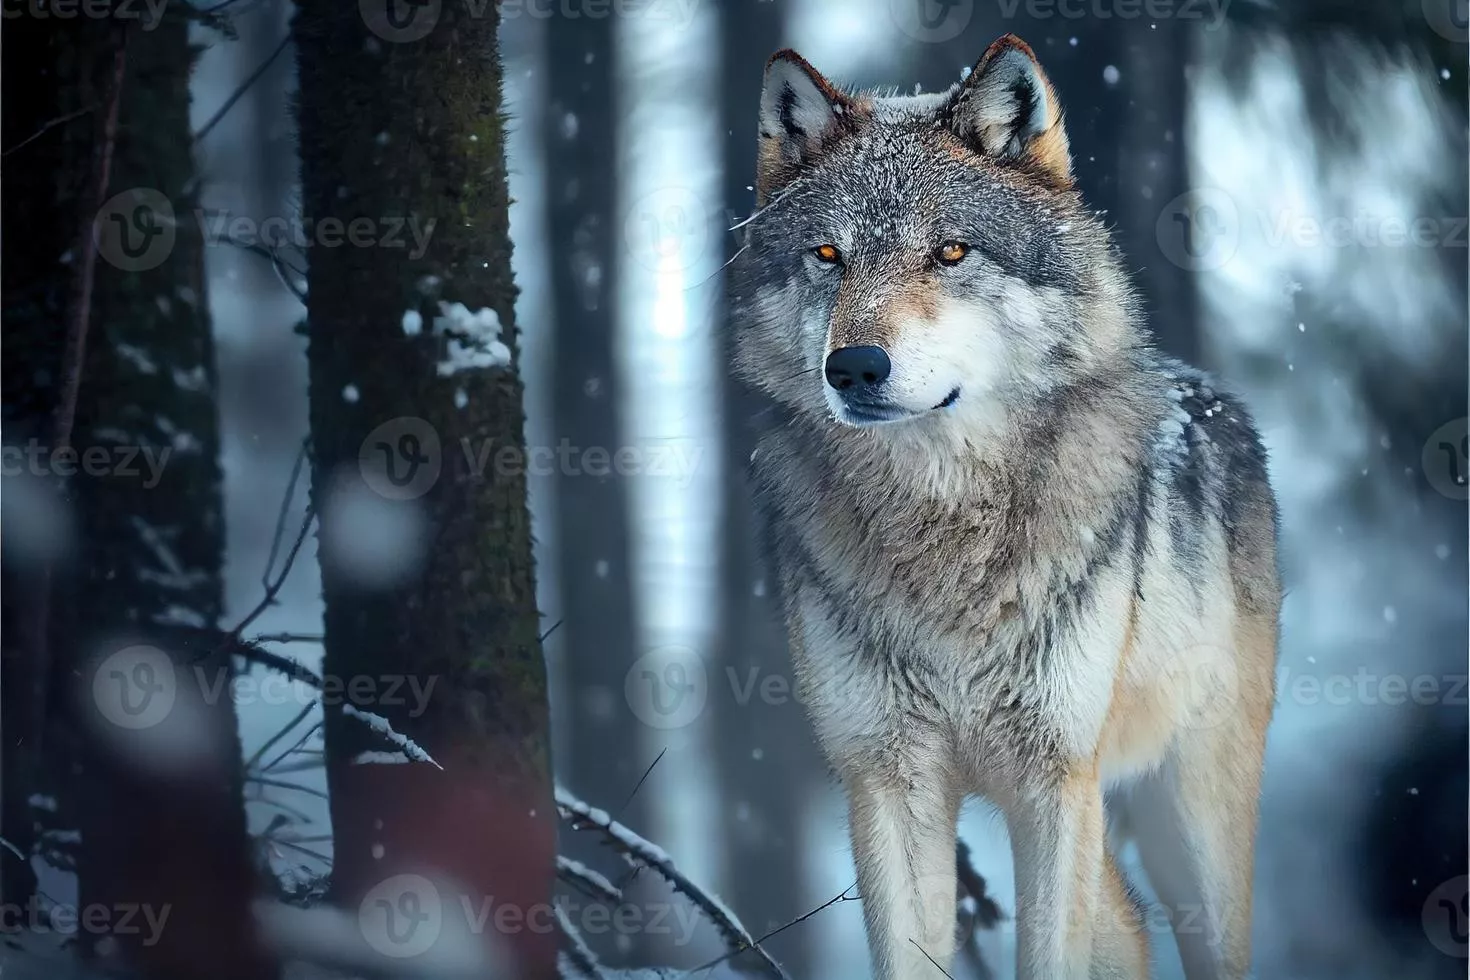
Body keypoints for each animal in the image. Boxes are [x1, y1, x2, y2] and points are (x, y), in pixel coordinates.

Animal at [729, 34, 1280, 980]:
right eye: (829, 256)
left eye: (952, 253)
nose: (854, 367)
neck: (943, 524)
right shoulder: (888, 779)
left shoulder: (1054, 780)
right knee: (1129, 928)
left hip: (1191, 825)